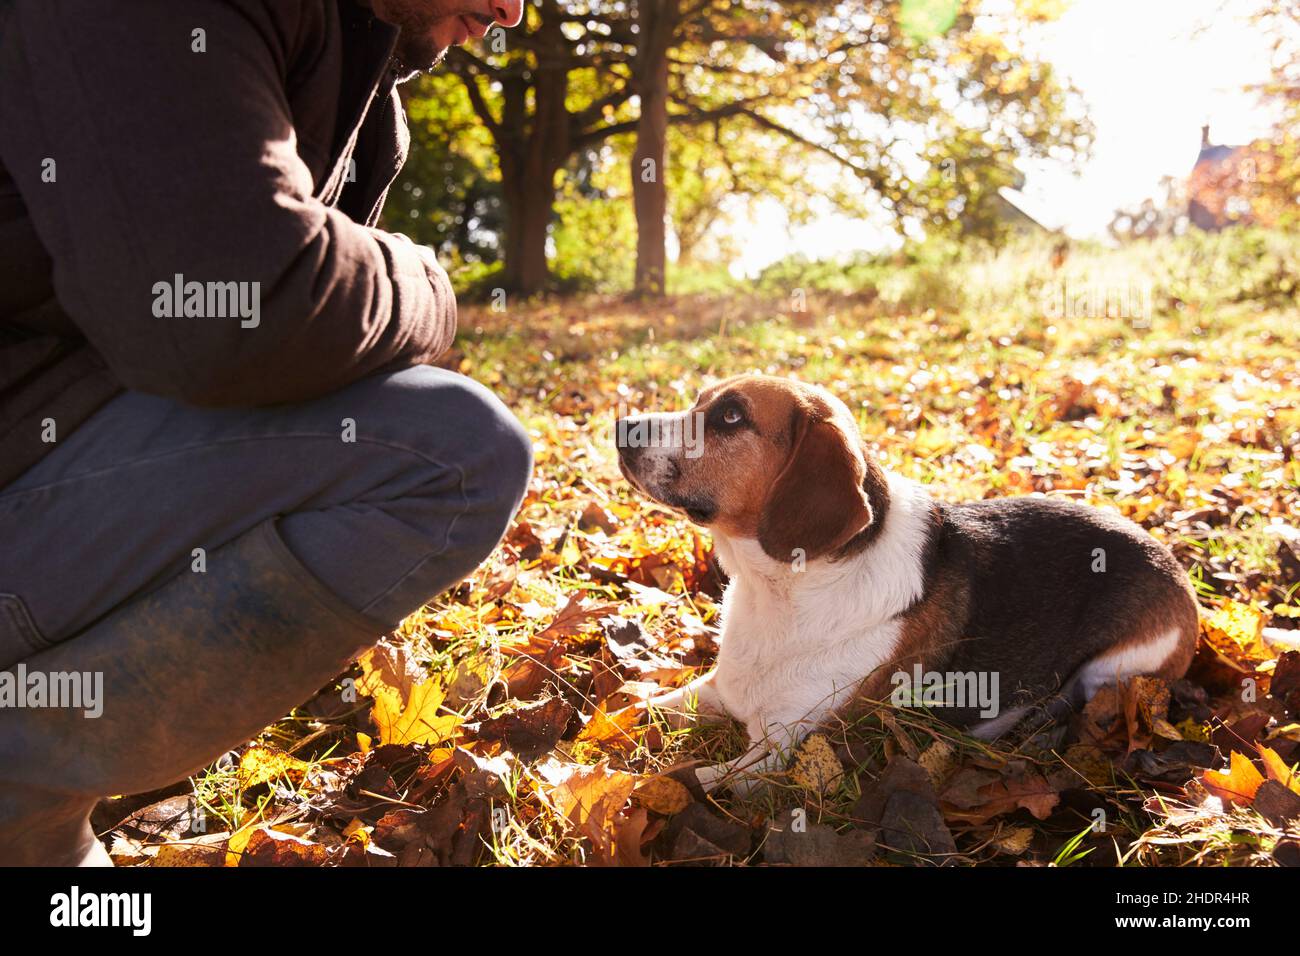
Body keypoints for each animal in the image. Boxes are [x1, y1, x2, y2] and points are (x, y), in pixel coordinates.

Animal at [618, 374, 1196, 790]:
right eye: (699, 400)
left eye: (731, 416)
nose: (622, 425)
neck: (782, 591)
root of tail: (1171, 562)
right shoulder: (715, 690)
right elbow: (632, 710)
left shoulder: (781, 750)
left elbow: (678, 780)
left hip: (1115, 671)